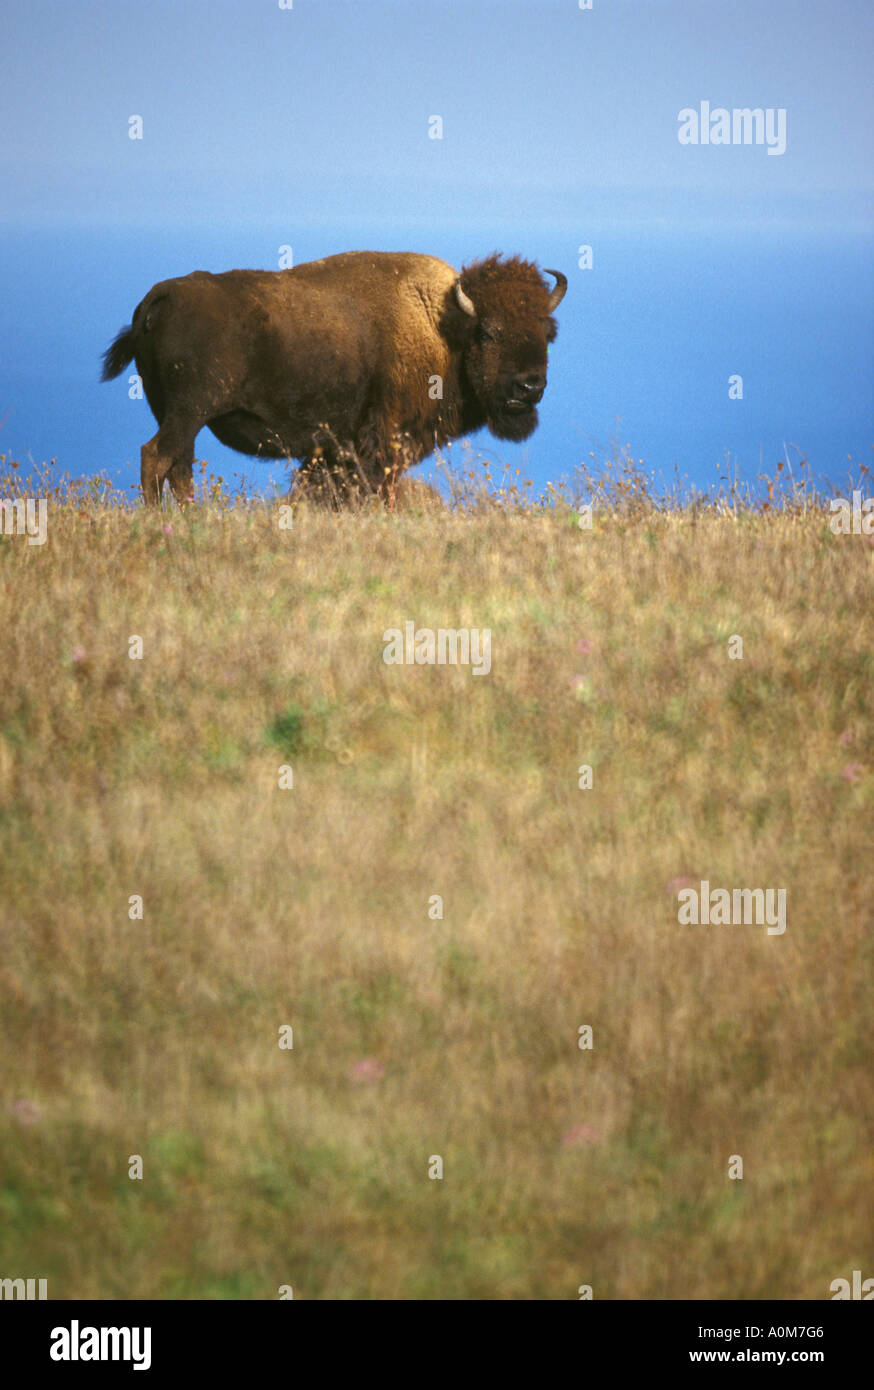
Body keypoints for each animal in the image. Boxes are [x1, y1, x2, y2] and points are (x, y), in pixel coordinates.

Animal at [101, 250, 566, 506]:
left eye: (548, 333)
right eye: (487, 332)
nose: (530, 386)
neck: (441, 324)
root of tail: (160, 296)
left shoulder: (336, 449)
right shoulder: (384, 441)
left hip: (177, 414)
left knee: (178, 466)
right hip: (190, 410)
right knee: (157, 456)